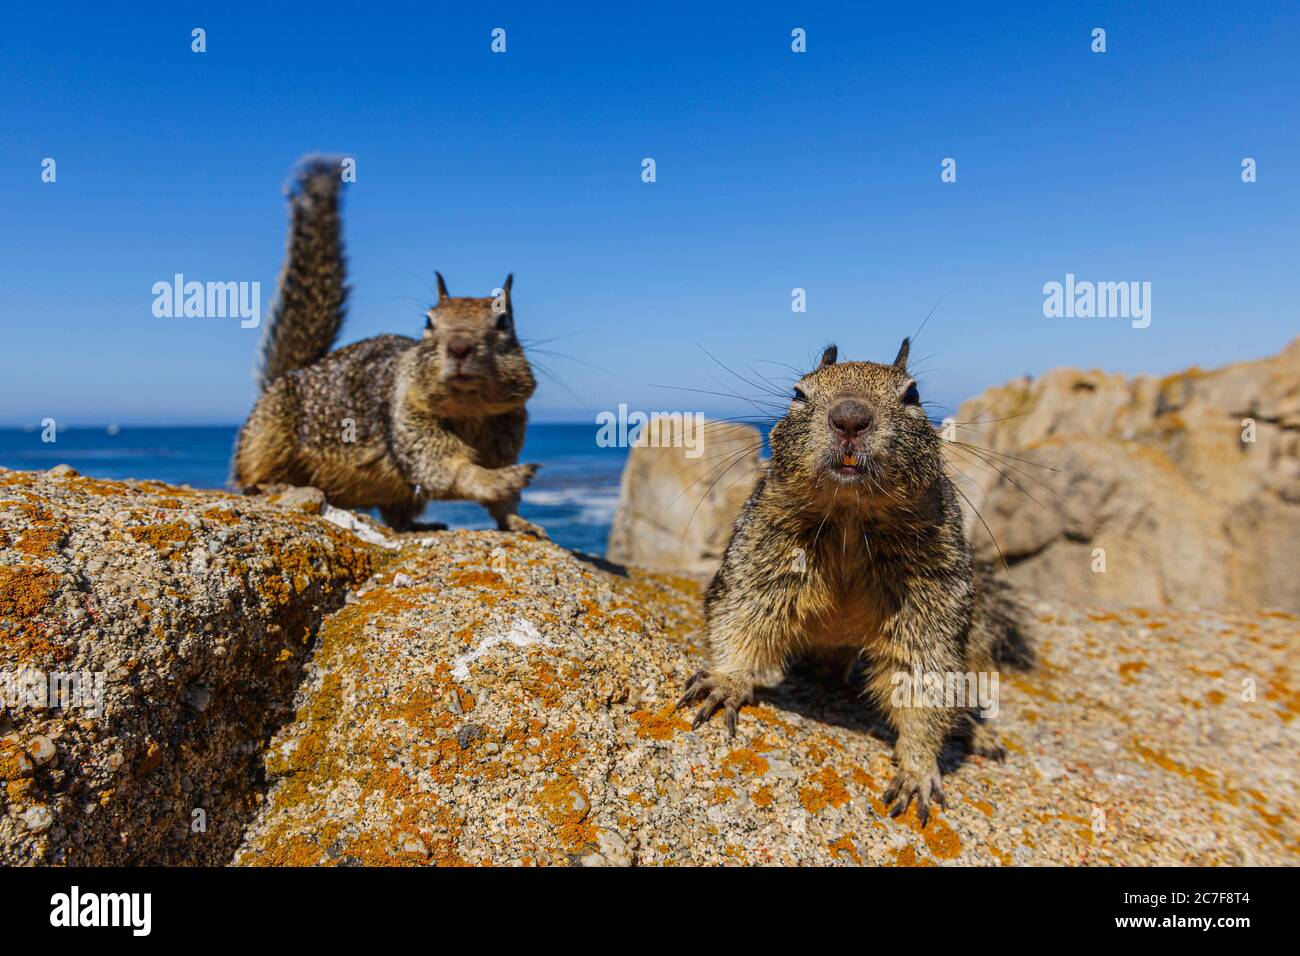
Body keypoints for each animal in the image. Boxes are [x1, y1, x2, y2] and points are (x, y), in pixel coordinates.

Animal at [232, 157, 543, 535]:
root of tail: (291, 373)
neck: (468, 410)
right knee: (251, 473)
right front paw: (497, 480)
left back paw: (422, 525)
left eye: (503, 323)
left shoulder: (506, 430)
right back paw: (273, 484)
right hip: (268, 432)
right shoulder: (406, 418)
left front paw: (519, 520)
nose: (459, 347)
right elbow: (443, 466)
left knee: (398, 514)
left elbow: (501, 504)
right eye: (428, 322)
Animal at [678, 339, 1033, 825]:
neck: (850, 516)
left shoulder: (934, 588)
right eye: (798, 392)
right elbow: (743, 612)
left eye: (913, 395)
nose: (849, 417)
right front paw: (726, 681)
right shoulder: (762, 548)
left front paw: (918, 770)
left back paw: (975, 733)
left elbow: (924, 672)